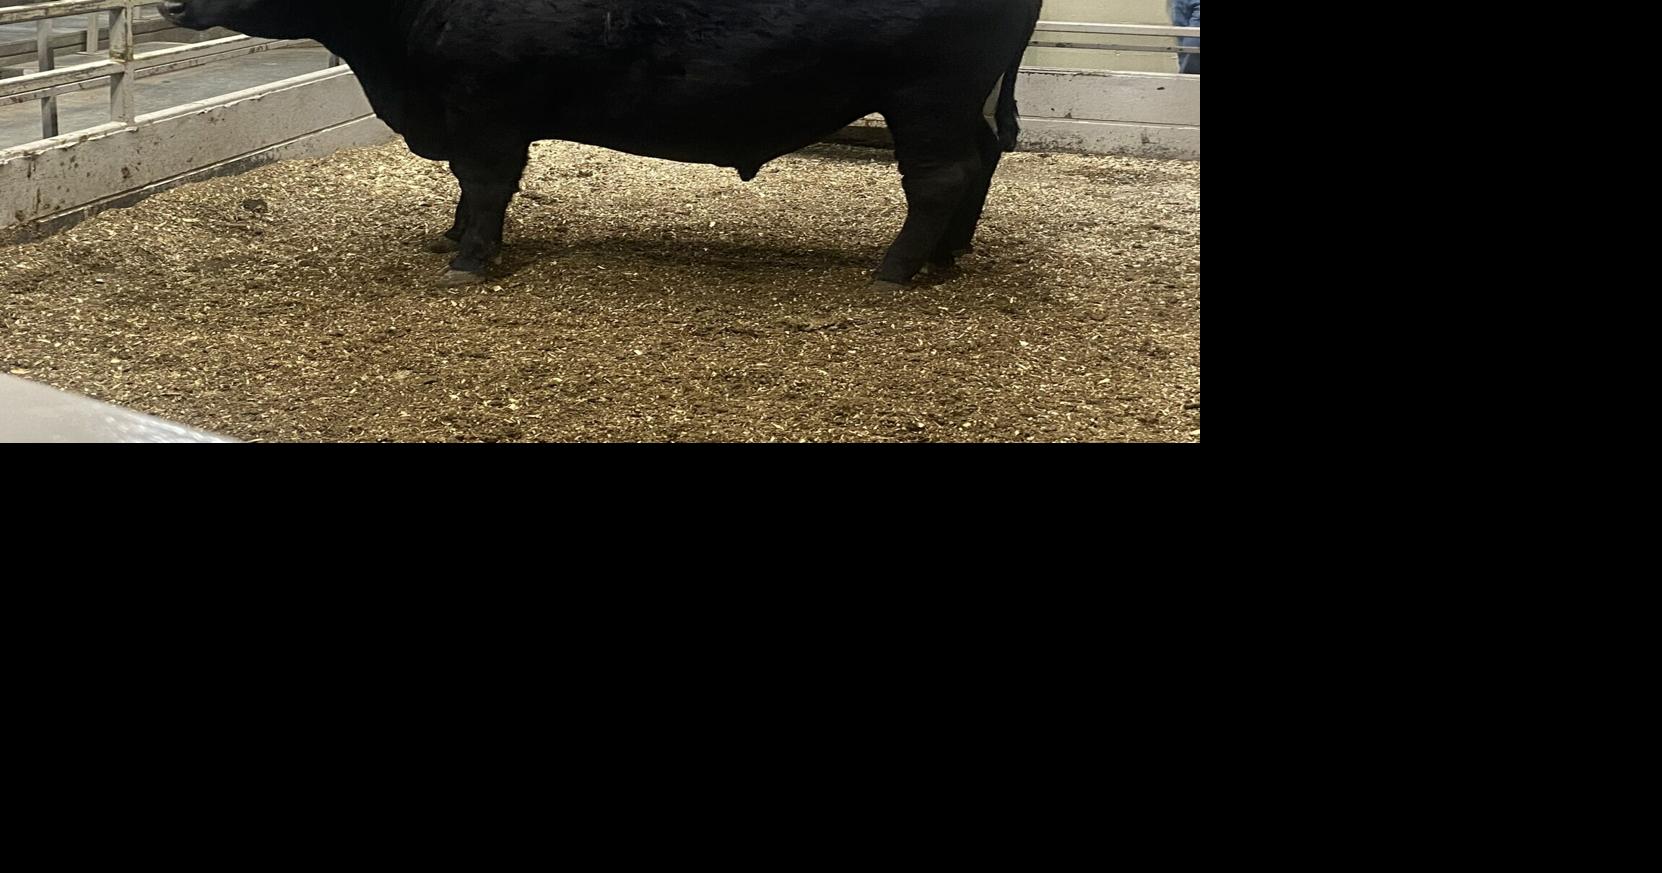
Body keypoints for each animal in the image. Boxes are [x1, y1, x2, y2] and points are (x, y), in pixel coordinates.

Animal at [159, 1, 1043, 289]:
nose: (167, 3)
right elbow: (472, 186)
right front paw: (450, 236)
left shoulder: (485, 105)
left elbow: (486, 181)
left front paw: (466, 262)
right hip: (958, 100)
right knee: (981, 162)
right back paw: (946, 256)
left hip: (926, 94)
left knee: (941, 176)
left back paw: (893, 270)